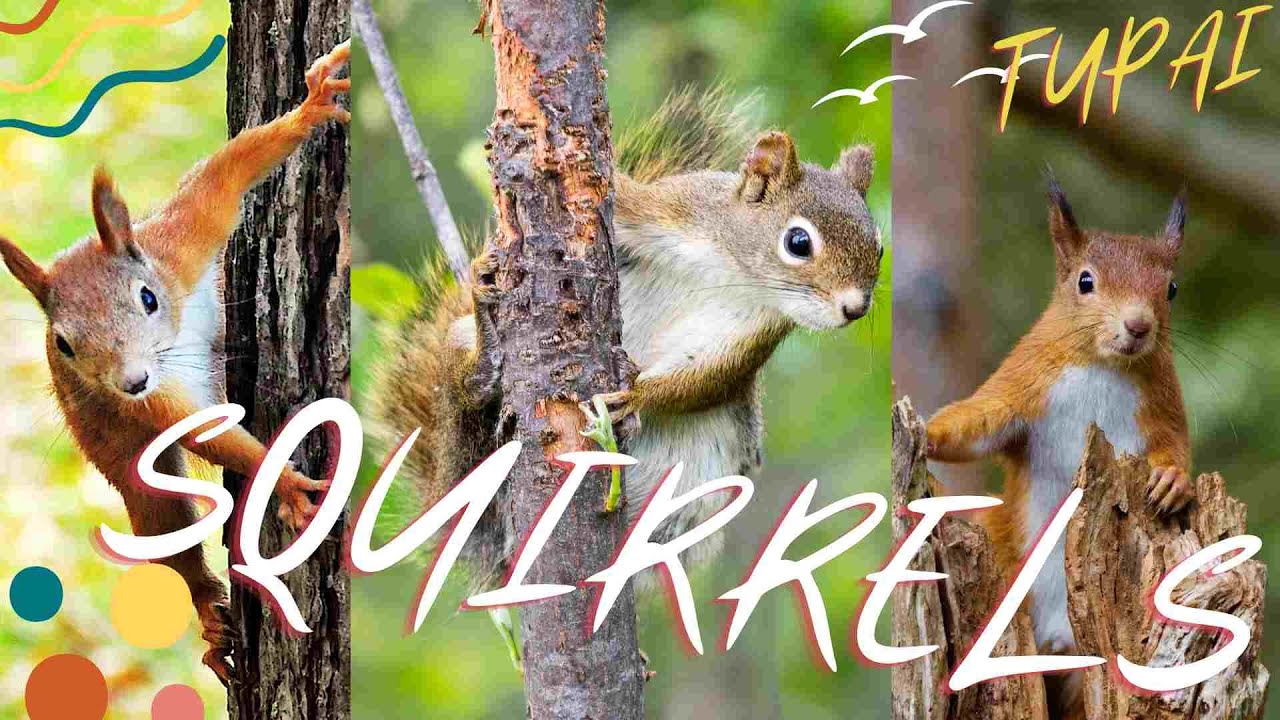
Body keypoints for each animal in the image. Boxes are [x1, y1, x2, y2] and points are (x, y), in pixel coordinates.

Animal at [0, 41, 351, 683]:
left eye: (148, 298)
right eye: (64, 345)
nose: (132, 381)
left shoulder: (181, 246)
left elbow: (225, 175)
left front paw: (311, 109)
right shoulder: (153, 403)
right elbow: (208, 432)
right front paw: (286, 483)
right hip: (121, 457)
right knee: (167, 532)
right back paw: (209, 612)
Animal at [372, 88, 883, 584]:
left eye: (878, 245)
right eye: (798, 242)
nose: (855, 309)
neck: (732, 269)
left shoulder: (748, 336)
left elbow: (703, 380)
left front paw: (634, 397)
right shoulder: (668, 210)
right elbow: (619, 193)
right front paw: (529, 161)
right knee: (462, 410)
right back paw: (481, 359)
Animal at [924, 175, 1192, 718]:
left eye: (1171, 289)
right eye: (1085, 282)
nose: (1138, 326)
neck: (1103, 365)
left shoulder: (1164, 412)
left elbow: (1177, 447)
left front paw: (1174, 480)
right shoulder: (1022, 386)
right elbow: (976, 423)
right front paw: (927, 432)